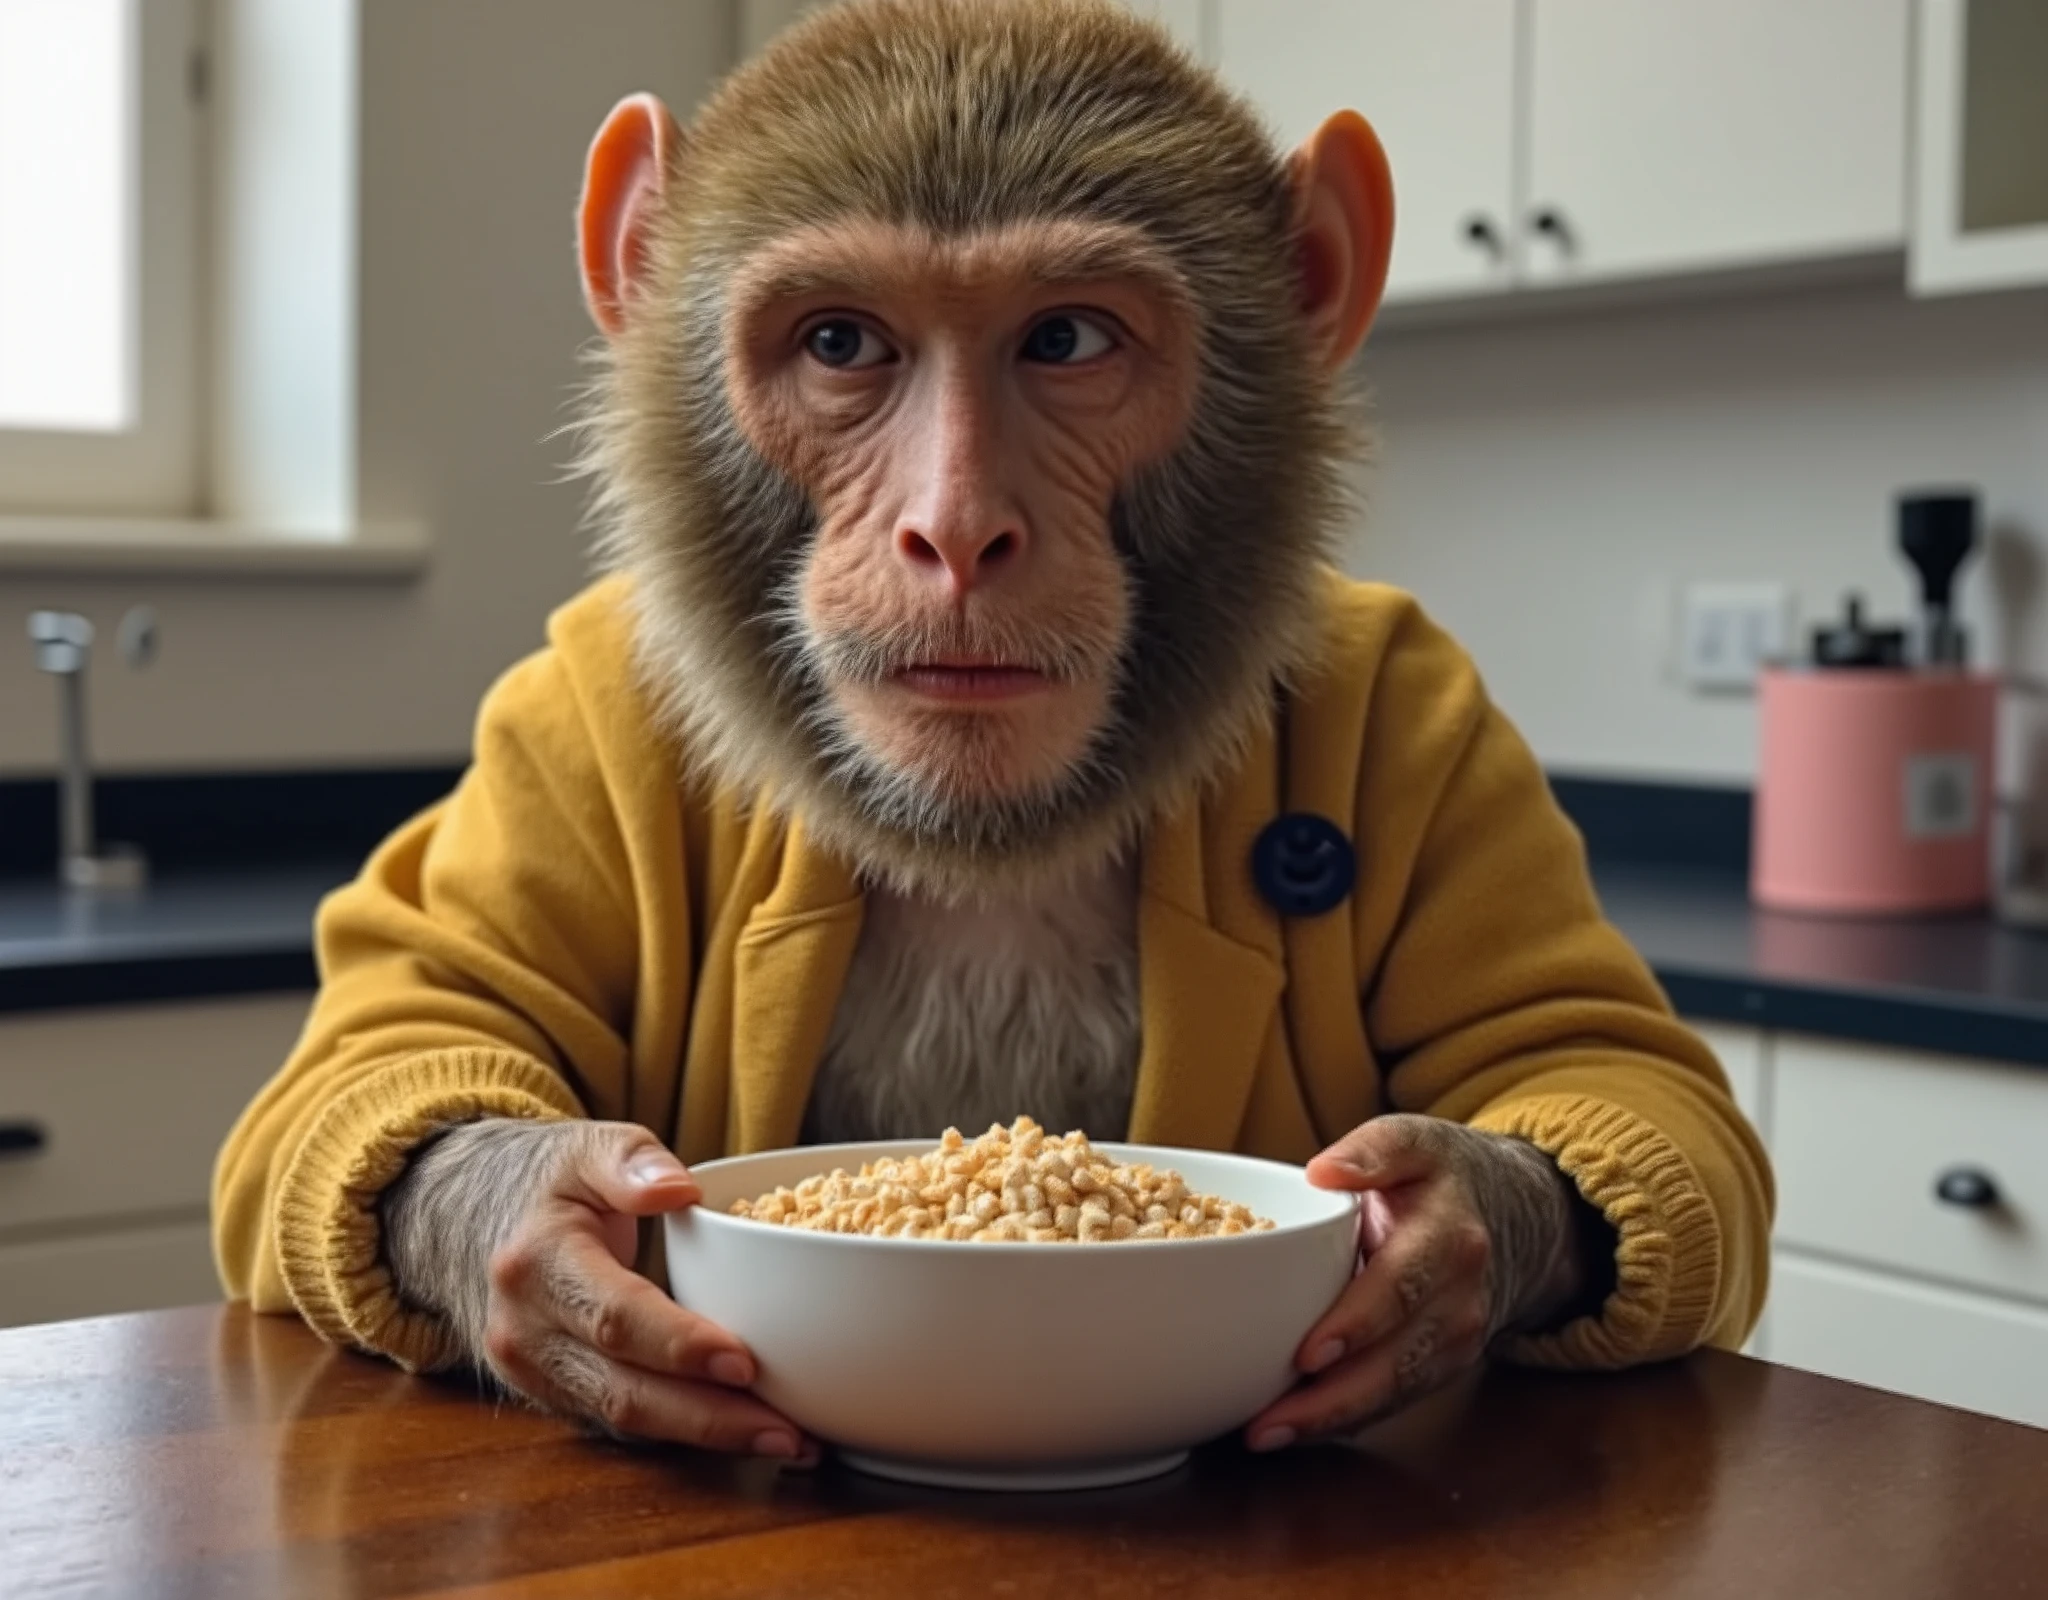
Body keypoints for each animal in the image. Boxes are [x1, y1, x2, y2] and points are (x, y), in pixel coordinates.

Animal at [214, 0, 1769, 1466]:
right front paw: (543, 1235)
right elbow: (390, 1034)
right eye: (841, 341)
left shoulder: (1423, 691)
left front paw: (1447, 1231)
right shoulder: (568, 700)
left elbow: (1606, 1057)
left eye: (1065, 338)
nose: (956, 531)